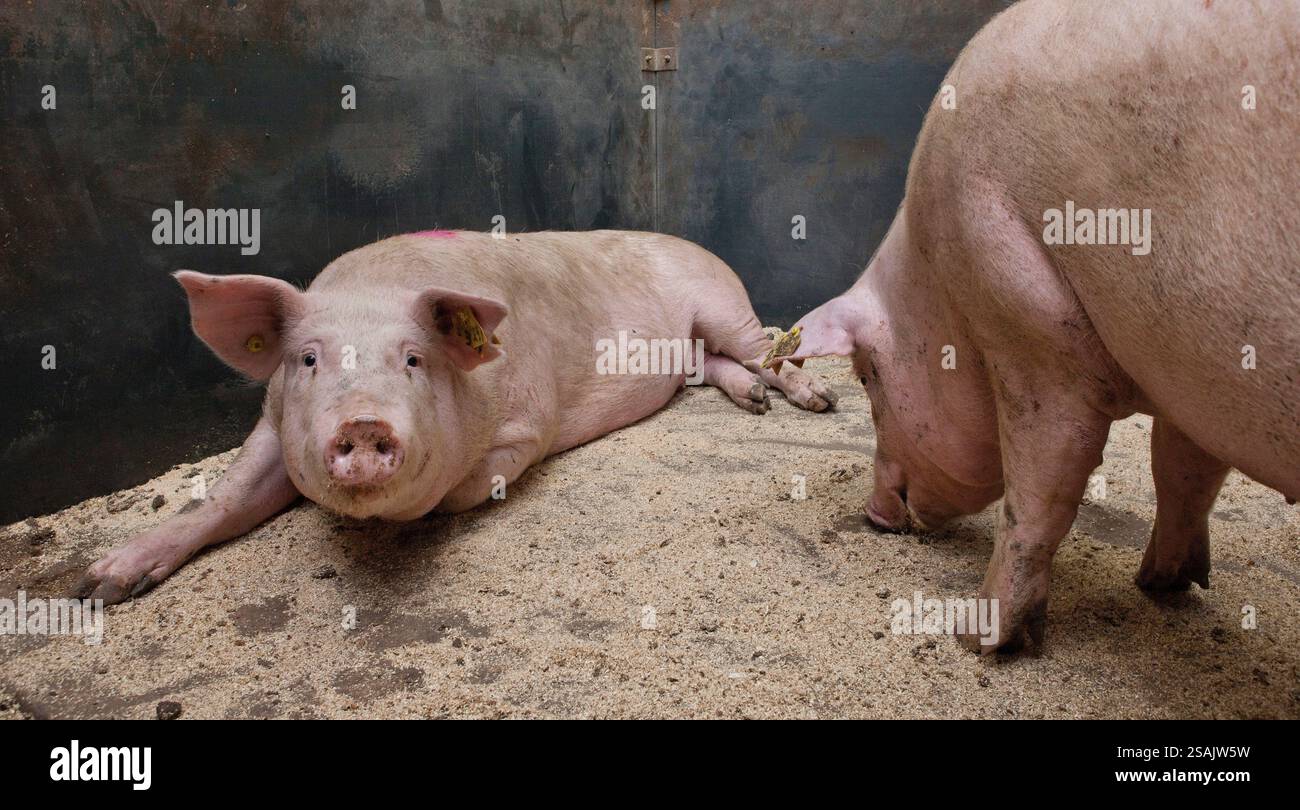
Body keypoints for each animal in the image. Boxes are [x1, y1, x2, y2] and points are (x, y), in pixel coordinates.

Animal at [77, 230, 837, 603]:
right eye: (310, 360)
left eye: (413, 359)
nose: (362, 423)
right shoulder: (272, 422)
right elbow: (228, 498)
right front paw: (100, 586)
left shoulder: (527, 429)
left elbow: (456, 496)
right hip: (691, 347)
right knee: (714, 364)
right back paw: (756, 402)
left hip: (722, 304)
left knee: (766, 345)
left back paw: (815, 401)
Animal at [775, 0, 1299, 652]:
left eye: (868, 377)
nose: (872, 515)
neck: (937, 278)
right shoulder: (1192, 378)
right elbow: (1183, 470)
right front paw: (1159, 584)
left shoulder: (1031, 327)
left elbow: (1039, 488)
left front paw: (976, 637)